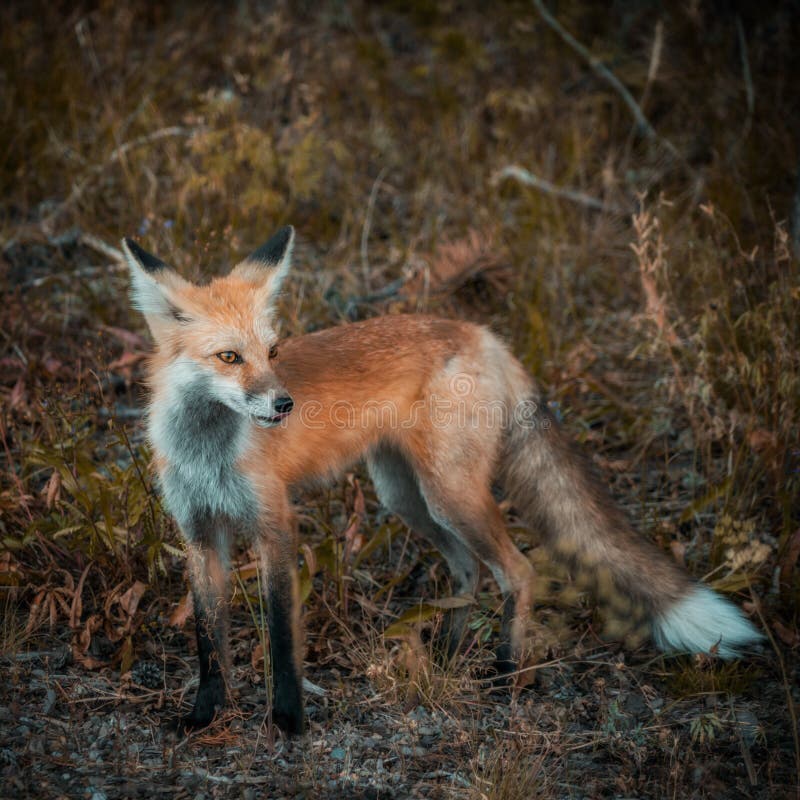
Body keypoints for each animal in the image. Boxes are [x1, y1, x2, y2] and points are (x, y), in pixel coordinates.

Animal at [121, 225, 762, 736]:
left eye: (273, 351)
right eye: (229, 358)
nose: (283, 404)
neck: (207, 452)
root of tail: (480, 332)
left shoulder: (275, 526)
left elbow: (281, 638)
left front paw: (289, 721)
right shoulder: (199, 535)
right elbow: (209, 641)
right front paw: (203, 717)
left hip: (449, 494)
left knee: (517, 570)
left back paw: (506, 673)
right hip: (407, 497)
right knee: (468, 570)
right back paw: (451, 659)